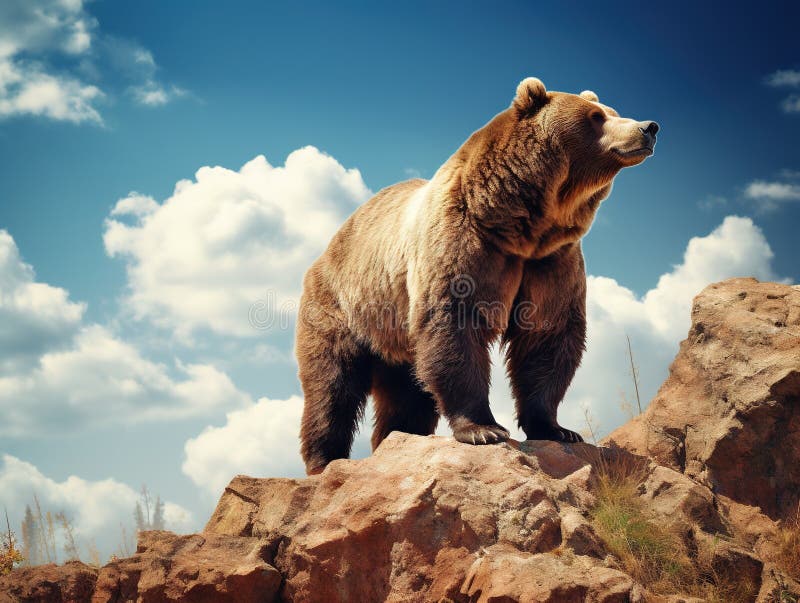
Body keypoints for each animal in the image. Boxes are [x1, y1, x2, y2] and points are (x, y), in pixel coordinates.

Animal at [295, 77, 658, 474]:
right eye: (596, 116)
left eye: (611, 110)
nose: (648, 127)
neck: (523, 224)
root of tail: (332, 243)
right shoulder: (466, 242)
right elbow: (457, 324)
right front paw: (484, 429)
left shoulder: (552, 261)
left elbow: (548, 337)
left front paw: (557, 429)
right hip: (345, 306)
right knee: (332, 386)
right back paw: (325, 459)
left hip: (396, 334)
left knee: (408, 391)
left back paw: (396, 438)